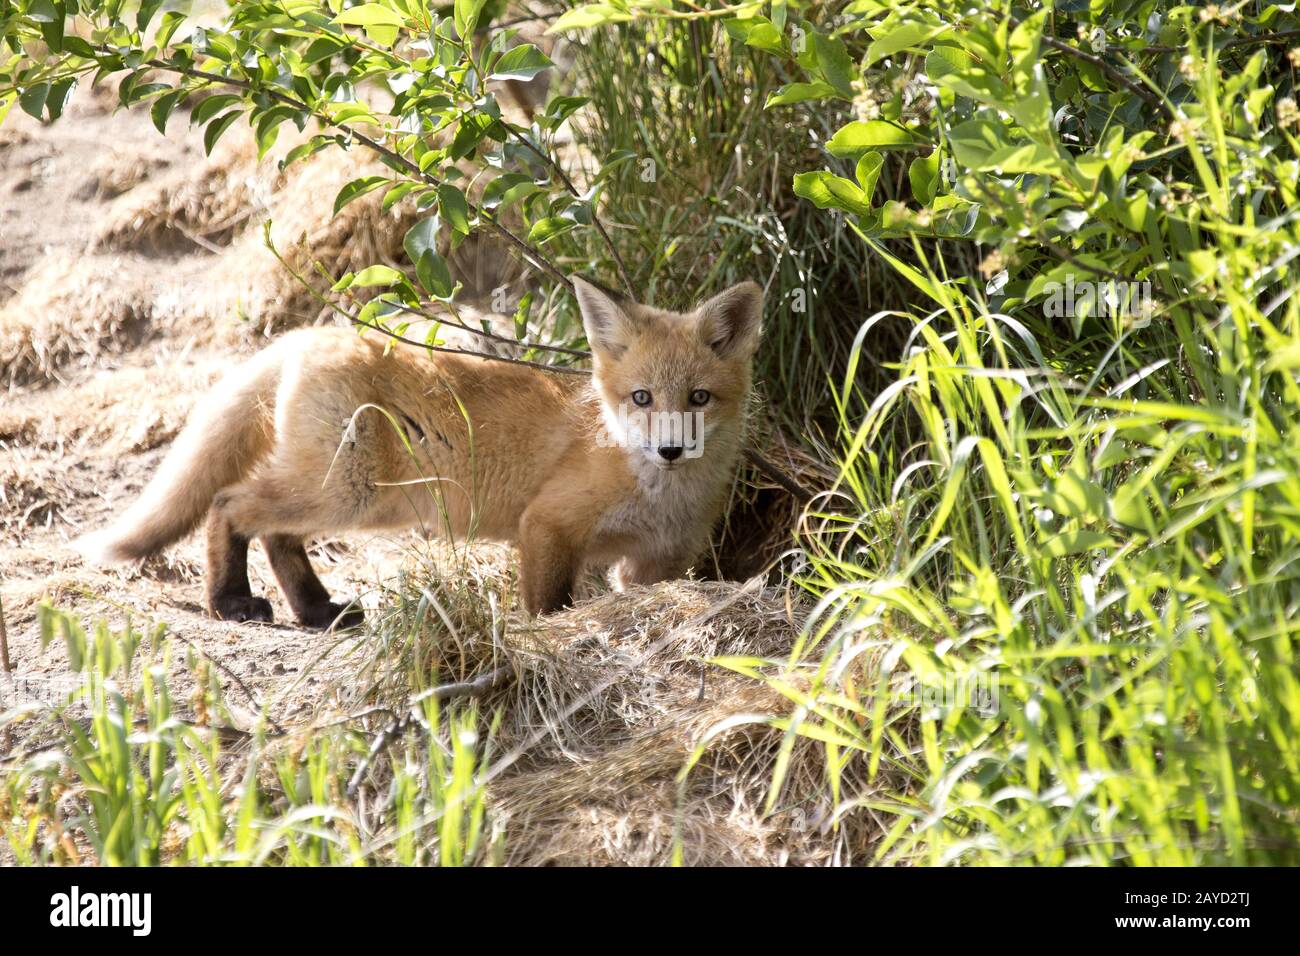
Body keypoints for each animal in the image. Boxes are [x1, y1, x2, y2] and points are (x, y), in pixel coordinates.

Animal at [79, 277, 763, 626]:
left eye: (699, 397)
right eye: (641, 397)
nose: (670, 449)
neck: (660, 495)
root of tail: (309, 334)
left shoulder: (657, 562)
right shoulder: (547, 524)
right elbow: (549, 605)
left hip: (346, 496)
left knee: (274, 532)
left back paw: (316, 609)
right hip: (347, 493)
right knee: (228, 504)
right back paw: (228, 602)